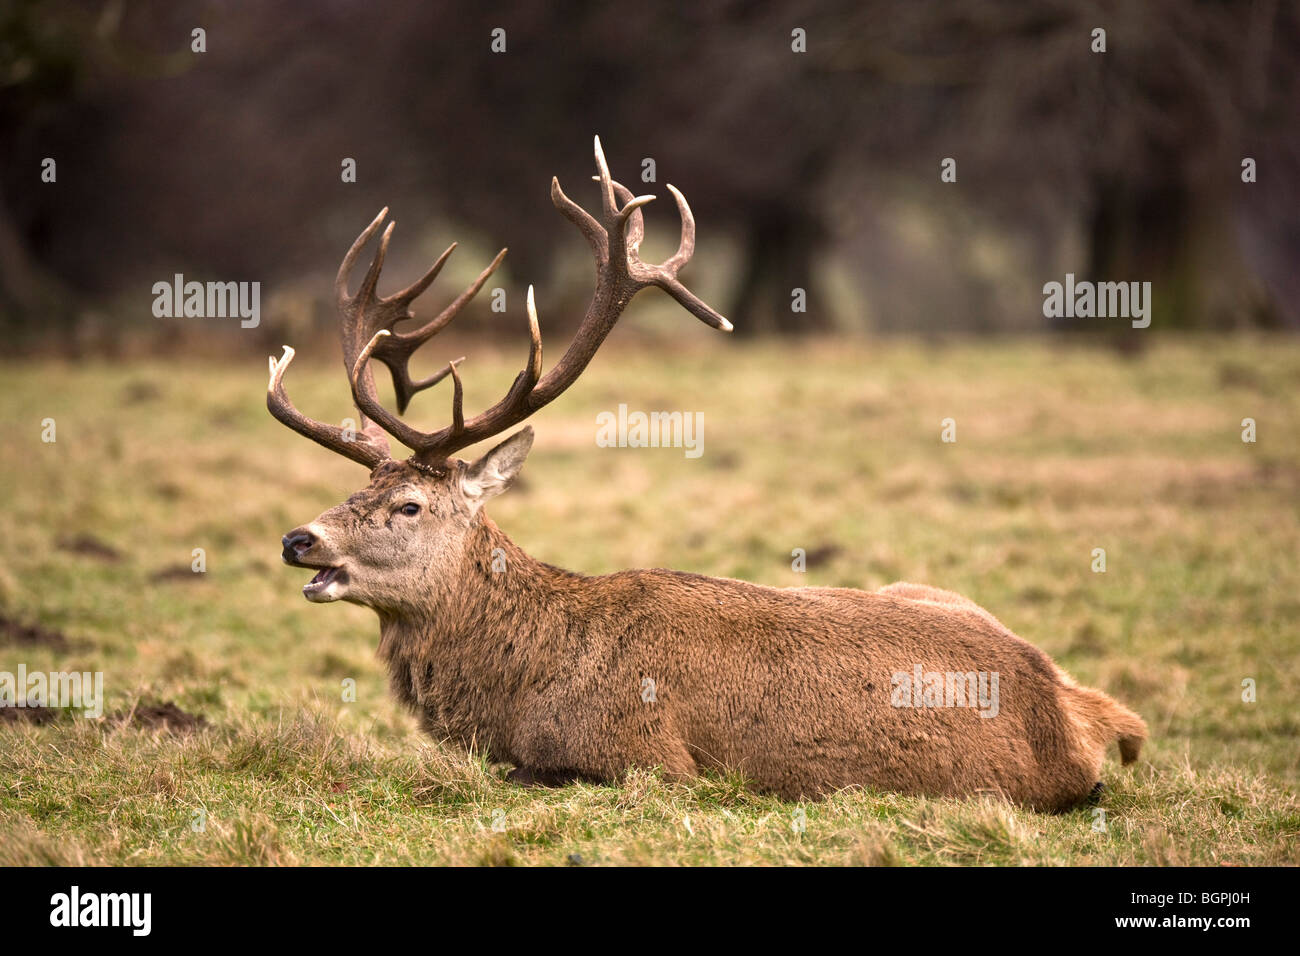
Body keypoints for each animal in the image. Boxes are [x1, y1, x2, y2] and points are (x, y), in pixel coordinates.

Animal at [266, 137, 1146, 811]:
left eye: (410, 505)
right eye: (357, 491)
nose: (298, 539)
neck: (526, 683)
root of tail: (1078, 713)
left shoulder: (648, 761)